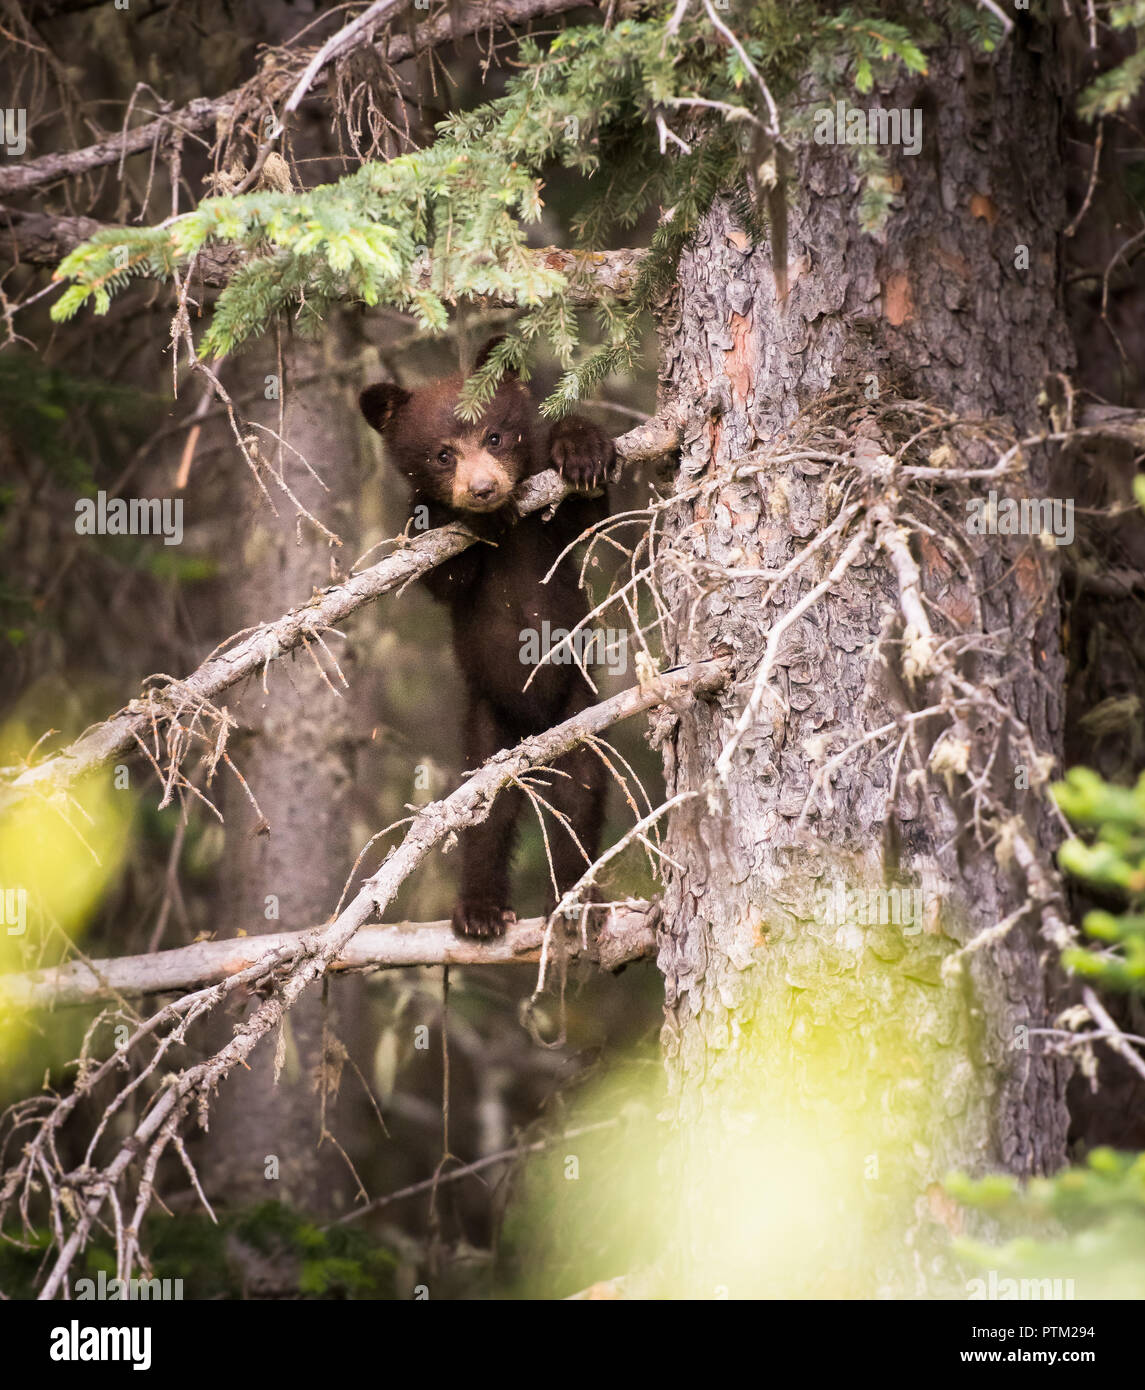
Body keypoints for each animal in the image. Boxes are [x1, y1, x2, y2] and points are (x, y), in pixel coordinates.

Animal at [359, 340, 614, 939]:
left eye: (495, 436)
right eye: (442, 455)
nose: (482, 489)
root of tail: (533, 732)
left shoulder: (555, 528)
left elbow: (591, 519)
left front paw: (582, 446)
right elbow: (442, 575)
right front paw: (463, 518)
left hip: (578, 711)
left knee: (580, 796)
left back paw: (575, 901)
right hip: (485, 725)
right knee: (485, 818)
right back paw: (479, 911)